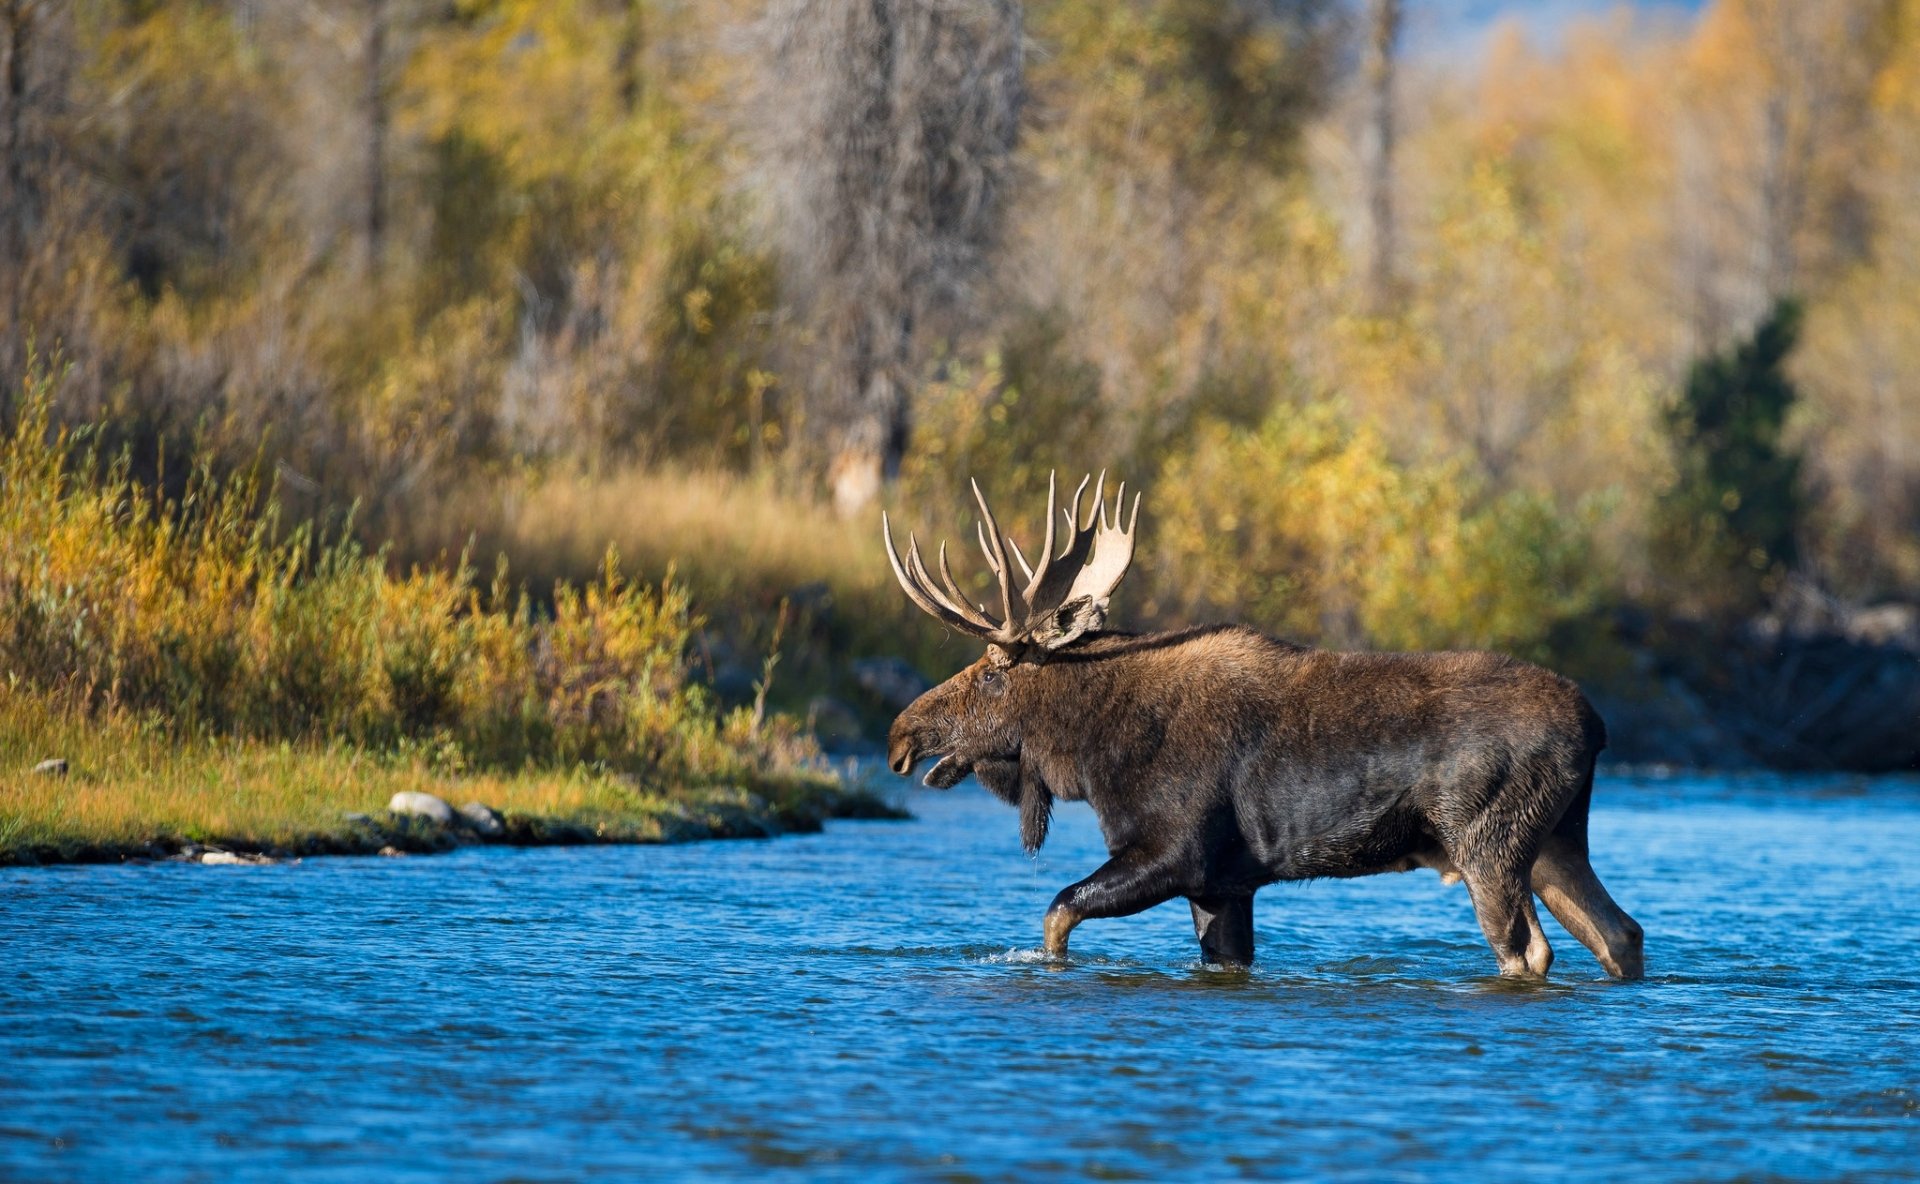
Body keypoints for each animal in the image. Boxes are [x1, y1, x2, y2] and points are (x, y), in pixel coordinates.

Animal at [881, 473, 1645, 979]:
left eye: (993, 673)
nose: (899, 736)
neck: (1092, 755)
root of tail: (1599, 726)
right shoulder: (1225, 883)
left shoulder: (1174, 852)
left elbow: (1057, 912)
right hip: (1556, 841)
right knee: (1621, 933)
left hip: (1488, 844)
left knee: (1530, 951)